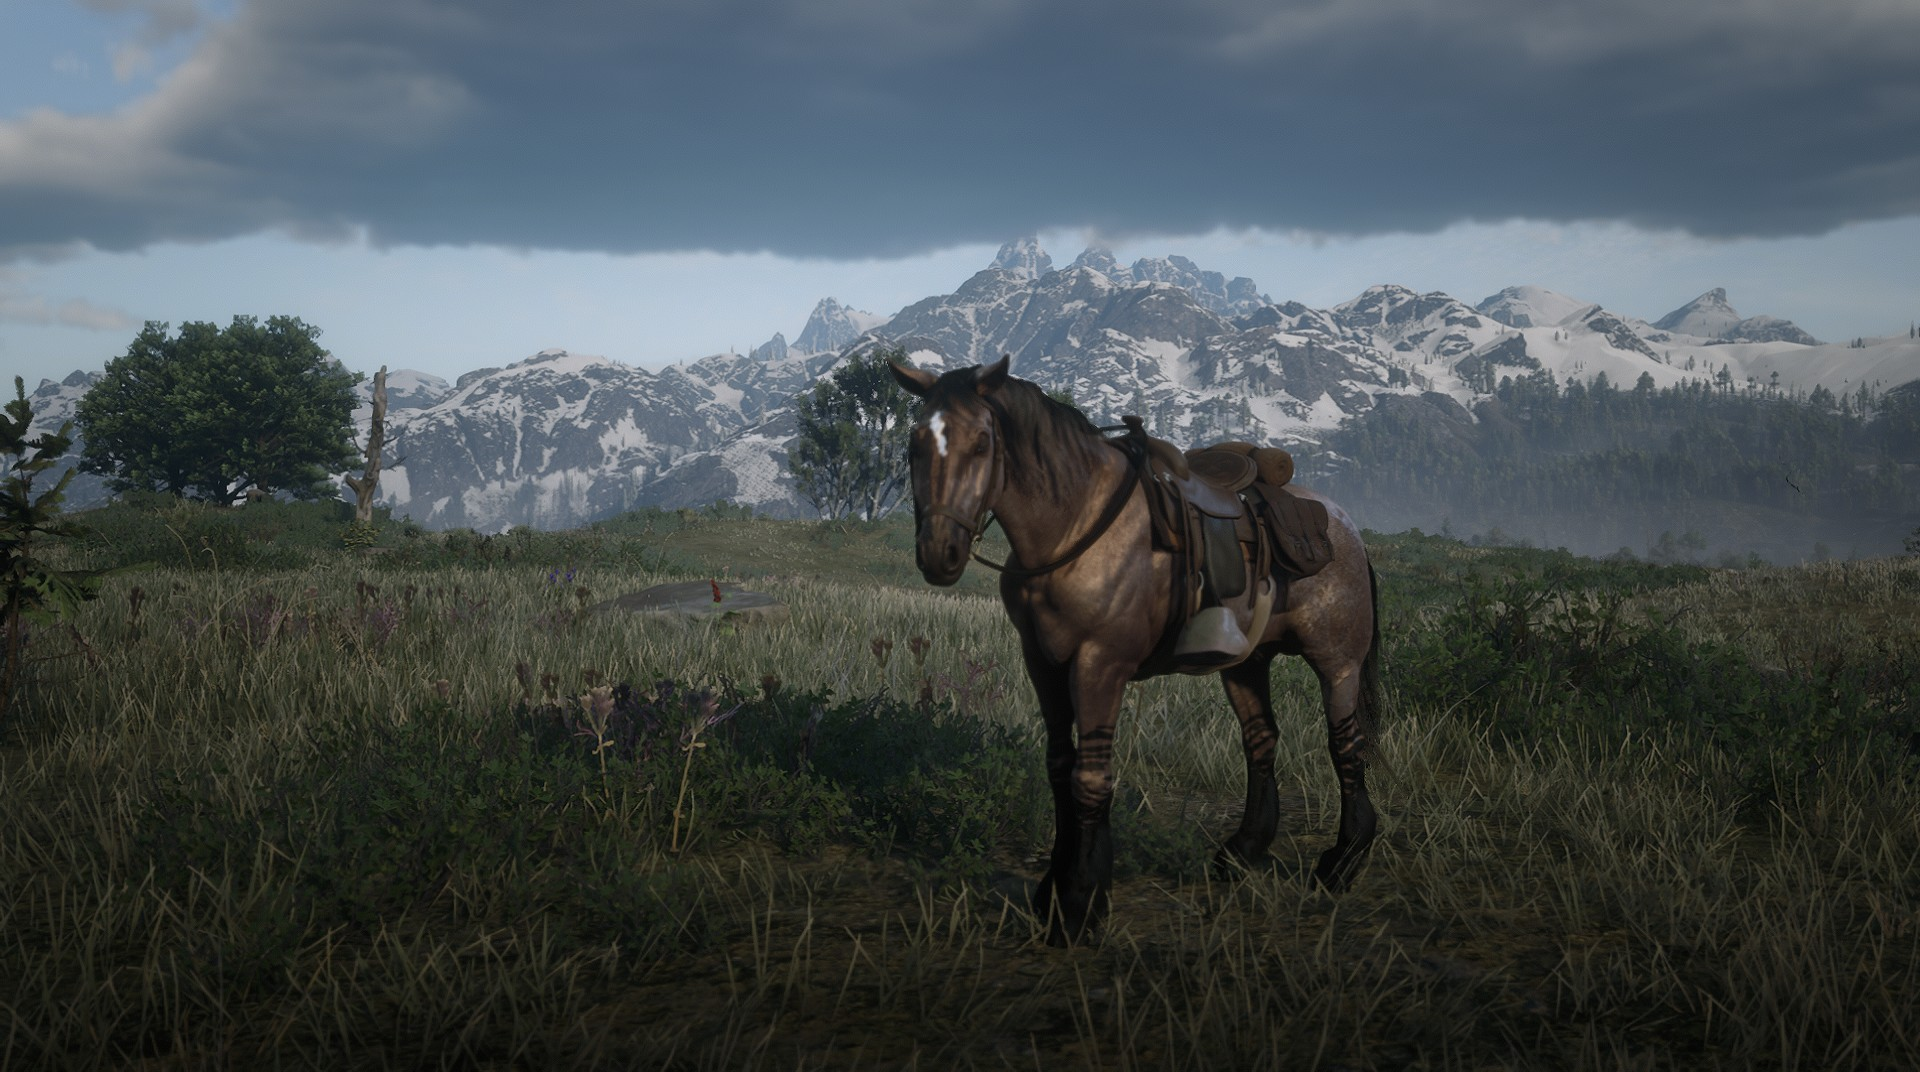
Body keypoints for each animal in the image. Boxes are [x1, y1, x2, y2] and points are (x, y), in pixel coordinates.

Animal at [890, 354, 1382, 945]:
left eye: (983, 443)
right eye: (915, 444)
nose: (938, 553)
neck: (1074, 525)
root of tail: (1346, 528)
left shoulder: (1100, 665)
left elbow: (1089, 779)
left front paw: (1080, 901)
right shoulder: (1043, 664)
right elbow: (1060, 769)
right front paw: (1053, 889)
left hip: (1337, 662)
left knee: (1346, 745)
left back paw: (1345, 859)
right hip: (1246, 665)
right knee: (1261, 741)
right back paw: (1242, 851)